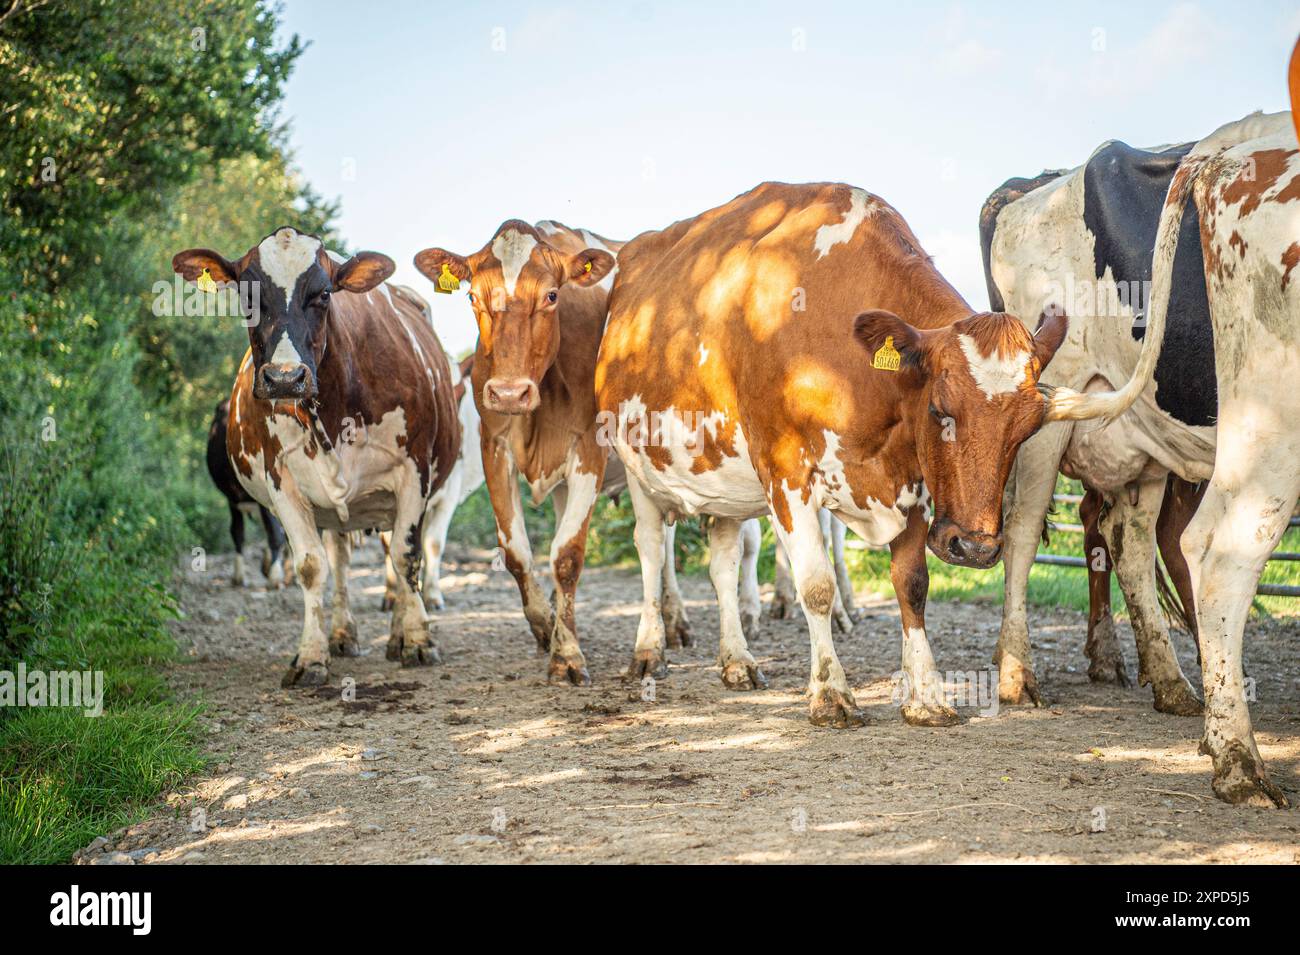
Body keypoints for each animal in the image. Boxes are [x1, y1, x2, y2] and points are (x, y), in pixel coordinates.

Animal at [412, 220, 618, 685]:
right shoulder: (495, 449)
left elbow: (567, 555)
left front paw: (567, 655)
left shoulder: (589, 451)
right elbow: (518, 553)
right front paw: (547, 628)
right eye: (472, 296)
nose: (508, 393)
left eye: (552, 295)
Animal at [594, 181, 1090, 726]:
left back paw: (737, 660)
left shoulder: (912, 481)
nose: (975, 548)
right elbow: (816, 585)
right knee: (649, 549)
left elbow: (912, 583)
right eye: (940, 408)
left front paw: (926, 695)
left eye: (1028, 427)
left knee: (723, 562)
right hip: (638, 468)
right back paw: (649, 652)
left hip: (724, 479)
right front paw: (831, 693)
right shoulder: (786, 473)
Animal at [981, 136, 1219, 714]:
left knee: (1126, 539)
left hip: (1149, 436)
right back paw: (1019, 675)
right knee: (1025, 531)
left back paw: (1166, 677)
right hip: (1051, 416)